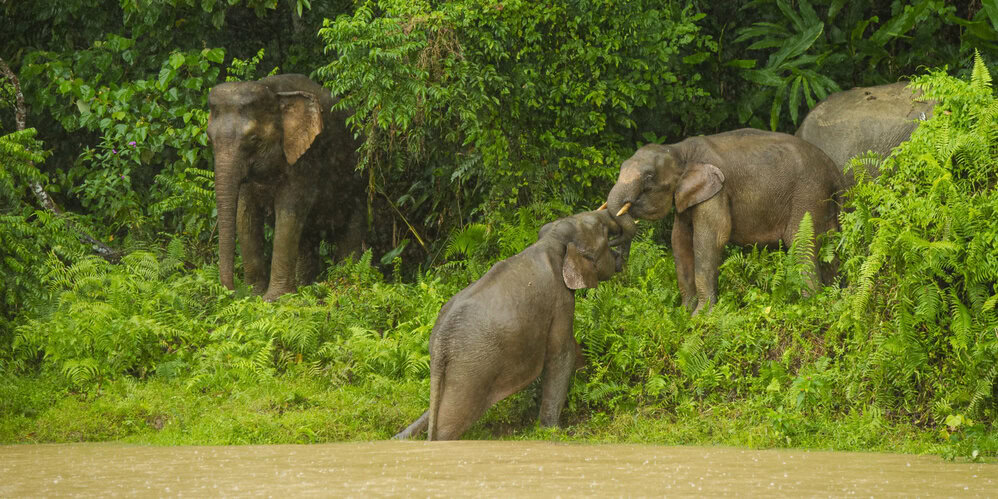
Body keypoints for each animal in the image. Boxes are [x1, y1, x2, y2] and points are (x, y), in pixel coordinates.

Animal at [206, 74, 366, 301]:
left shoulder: (306, 157)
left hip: (359, 180)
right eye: (209, 138)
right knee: (307, 238)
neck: (274, 92)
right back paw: (304, 288)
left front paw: (273, 300)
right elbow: (245, 214)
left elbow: (288, 210)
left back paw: (345, 282)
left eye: (254, 139)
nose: (232, 291)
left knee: (350, 231)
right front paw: (253, 295)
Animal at [392, 210, 623, 441]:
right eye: (602, 229)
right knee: (450, 422)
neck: (551, 239)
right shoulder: (560, 301)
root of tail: (440, 342)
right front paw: (553, 431)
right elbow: (562, 355)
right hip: (470, 371)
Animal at [603, 128, 846, 315]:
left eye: (649, 177)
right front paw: (683, 313)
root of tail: (835, 170)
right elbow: (679, 241)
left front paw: (701, 316)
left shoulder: (717, 191)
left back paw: (809, 305)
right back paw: (833, 296)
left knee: (801, 242)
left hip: (808, 194)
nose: (618, 261)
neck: (679, 148)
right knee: (828, 245)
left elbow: (710, 239)